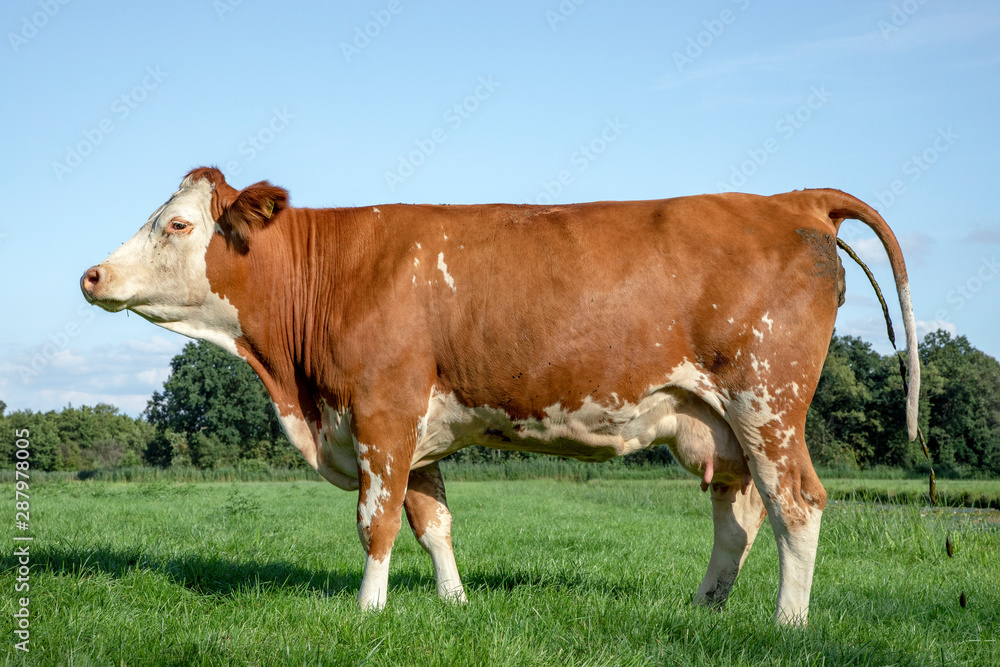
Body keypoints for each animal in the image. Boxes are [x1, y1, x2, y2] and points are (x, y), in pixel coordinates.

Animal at [80, 167, 919, 624]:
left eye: (175, 223)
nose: (92, 274)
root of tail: (791, 199)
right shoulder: (411, 427)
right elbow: (433, 522)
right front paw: (453, 602)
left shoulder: (381, 410)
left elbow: (376, 522)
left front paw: (367, 609)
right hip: (717, 422)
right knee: (737, 516)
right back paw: (706, 606)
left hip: (768, 400)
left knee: (797, 504)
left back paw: (788, 621)